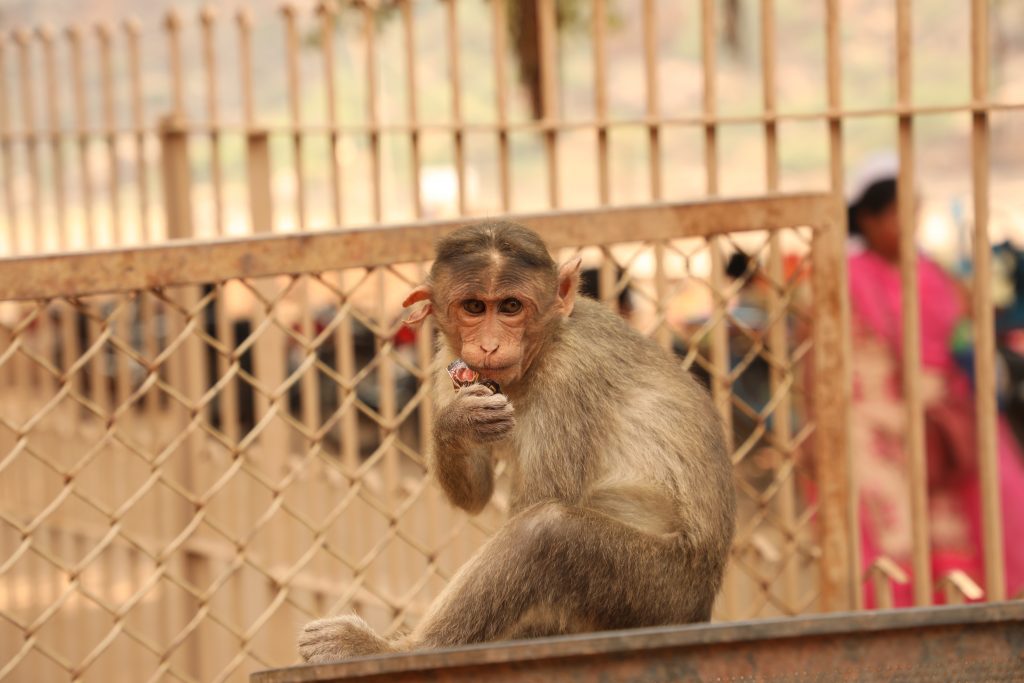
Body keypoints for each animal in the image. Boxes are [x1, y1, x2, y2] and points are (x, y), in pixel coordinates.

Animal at [298, 221, 735, 663]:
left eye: (510, 307)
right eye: (474, 307)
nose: (489, 345)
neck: (542, 349)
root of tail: (702, 603)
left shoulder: (570, 375)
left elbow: (540, 503)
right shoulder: (444, 362)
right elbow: (475, 493)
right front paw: (457, 423)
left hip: (663, 592)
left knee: (546, 532)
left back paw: (401, 649)